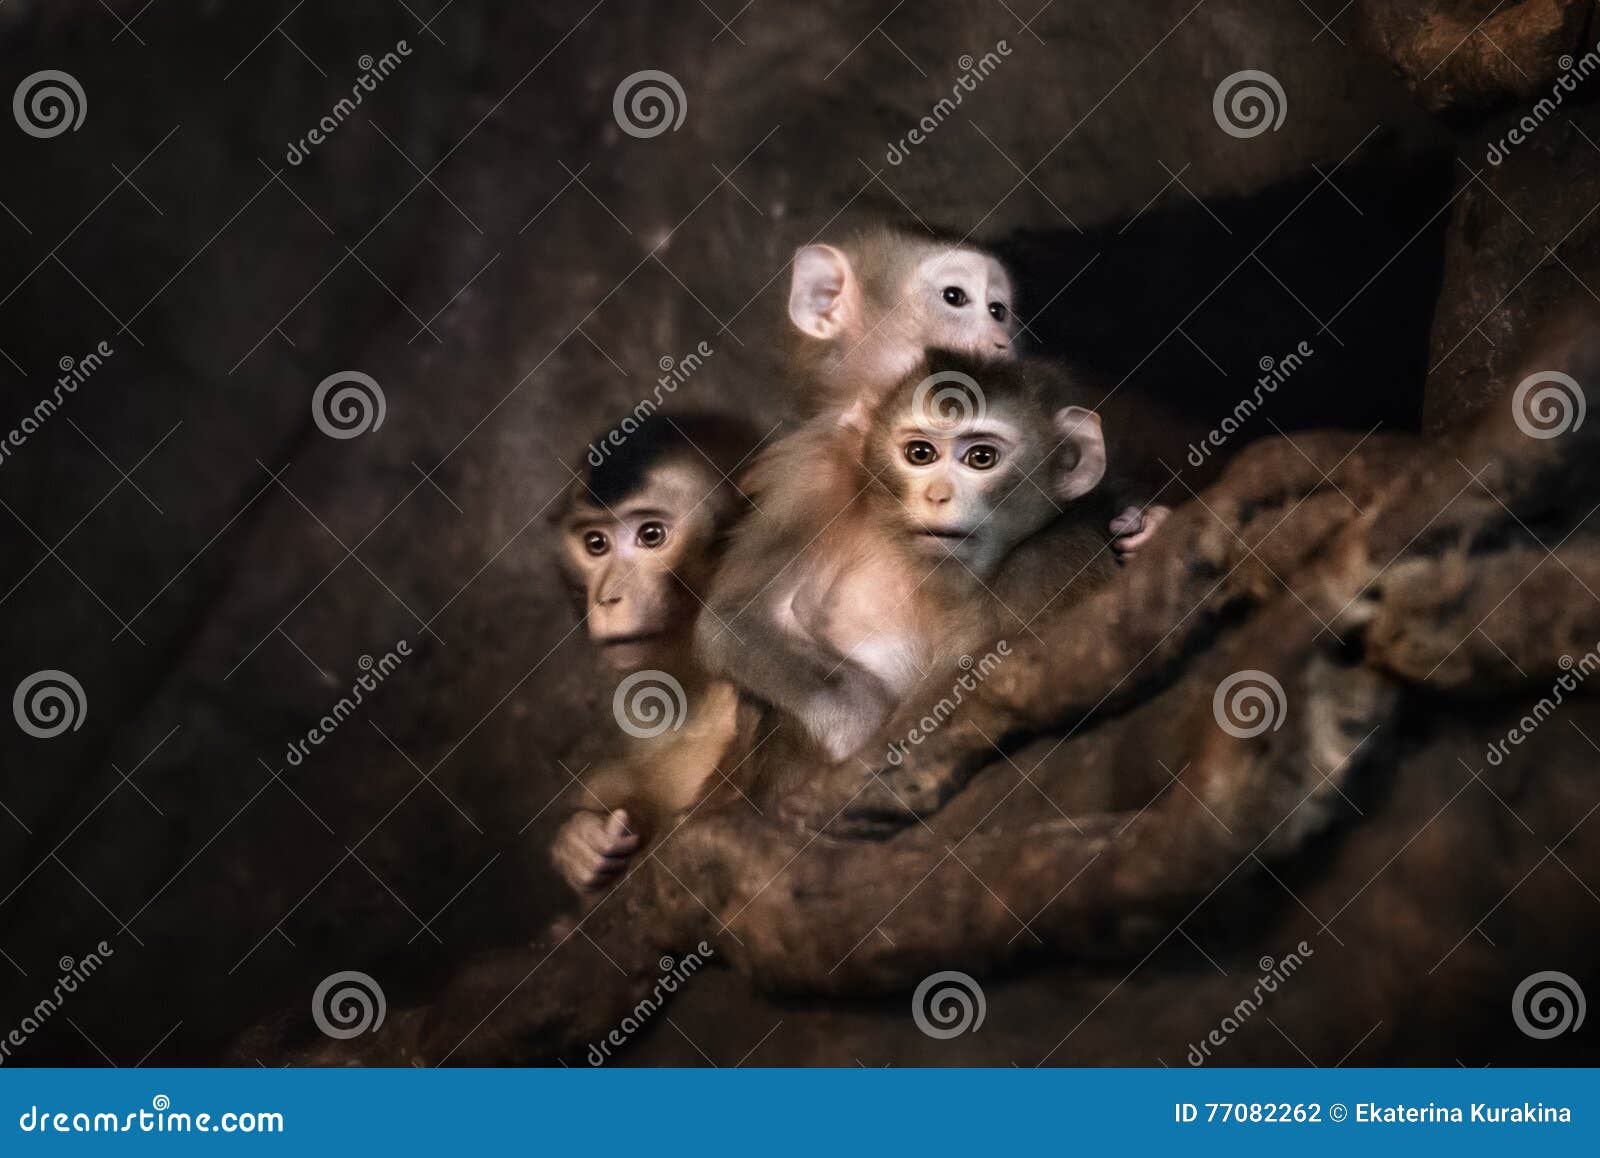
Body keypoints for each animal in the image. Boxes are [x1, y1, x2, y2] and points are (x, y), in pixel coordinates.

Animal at [695, 349, 1119, 762]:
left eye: (982, 457)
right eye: (920, 453)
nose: (937, 495)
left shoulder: (1052, 559)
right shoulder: (816, 478)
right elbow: (734, 618)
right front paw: (859, 724)